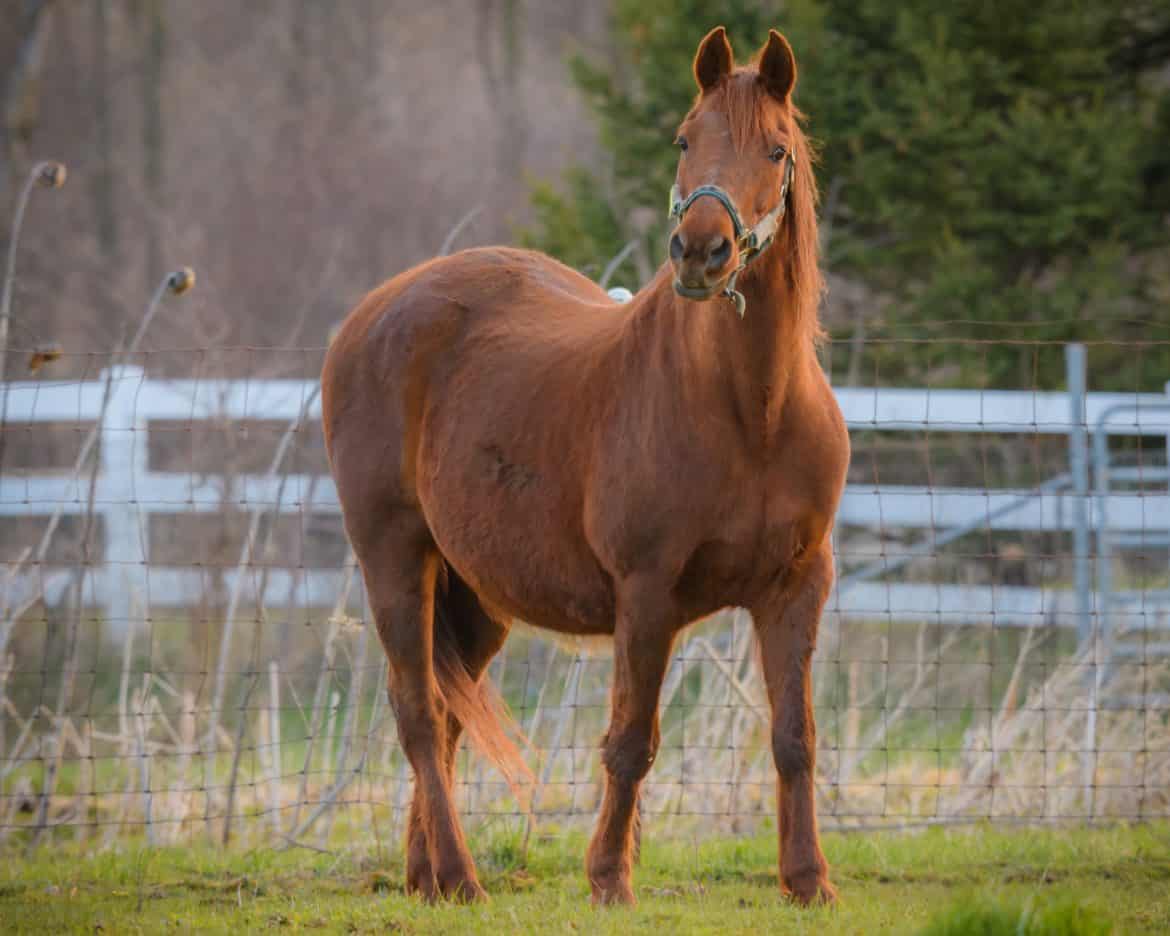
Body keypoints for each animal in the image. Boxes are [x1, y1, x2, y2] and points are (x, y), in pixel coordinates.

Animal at [321, 26, 848, 906]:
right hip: (394, 558)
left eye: (777, 150)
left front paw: (808, 882)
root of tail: (372, 312)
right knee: (418, 713)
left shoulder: (796, 587)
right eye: (684, 139)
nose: (701, 253)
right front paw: (608, 879)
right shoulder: (647, 594)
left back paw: (426, 875)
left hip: (475, 590)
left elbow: (794, 735)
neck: (754, 414)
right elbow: (631, 741)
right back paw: (459, 875)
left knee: (446, 714)